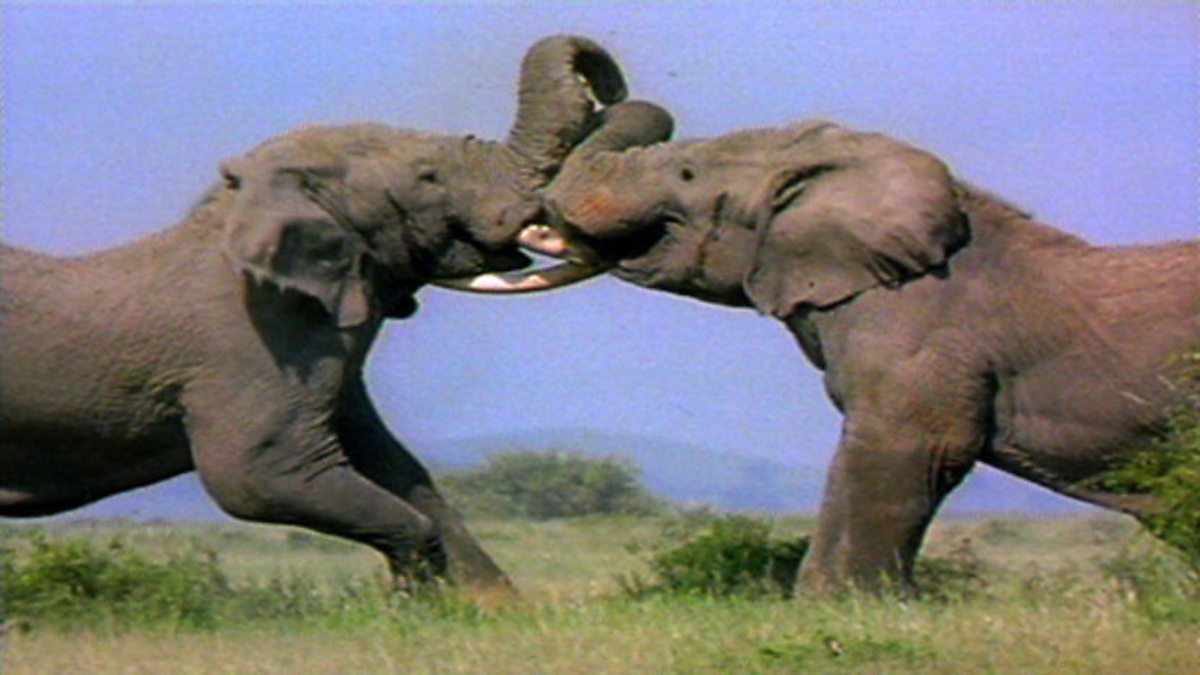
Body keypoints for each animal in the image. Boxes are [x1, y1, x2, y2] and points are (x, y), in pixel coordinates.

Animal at [0, 35, 661, 594]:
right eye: (428, 177)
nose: (609, 86)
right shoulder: (254, 347)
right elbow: (260, 476)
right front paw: (417, 605)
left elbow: (399, 468)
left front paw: (489, 609)